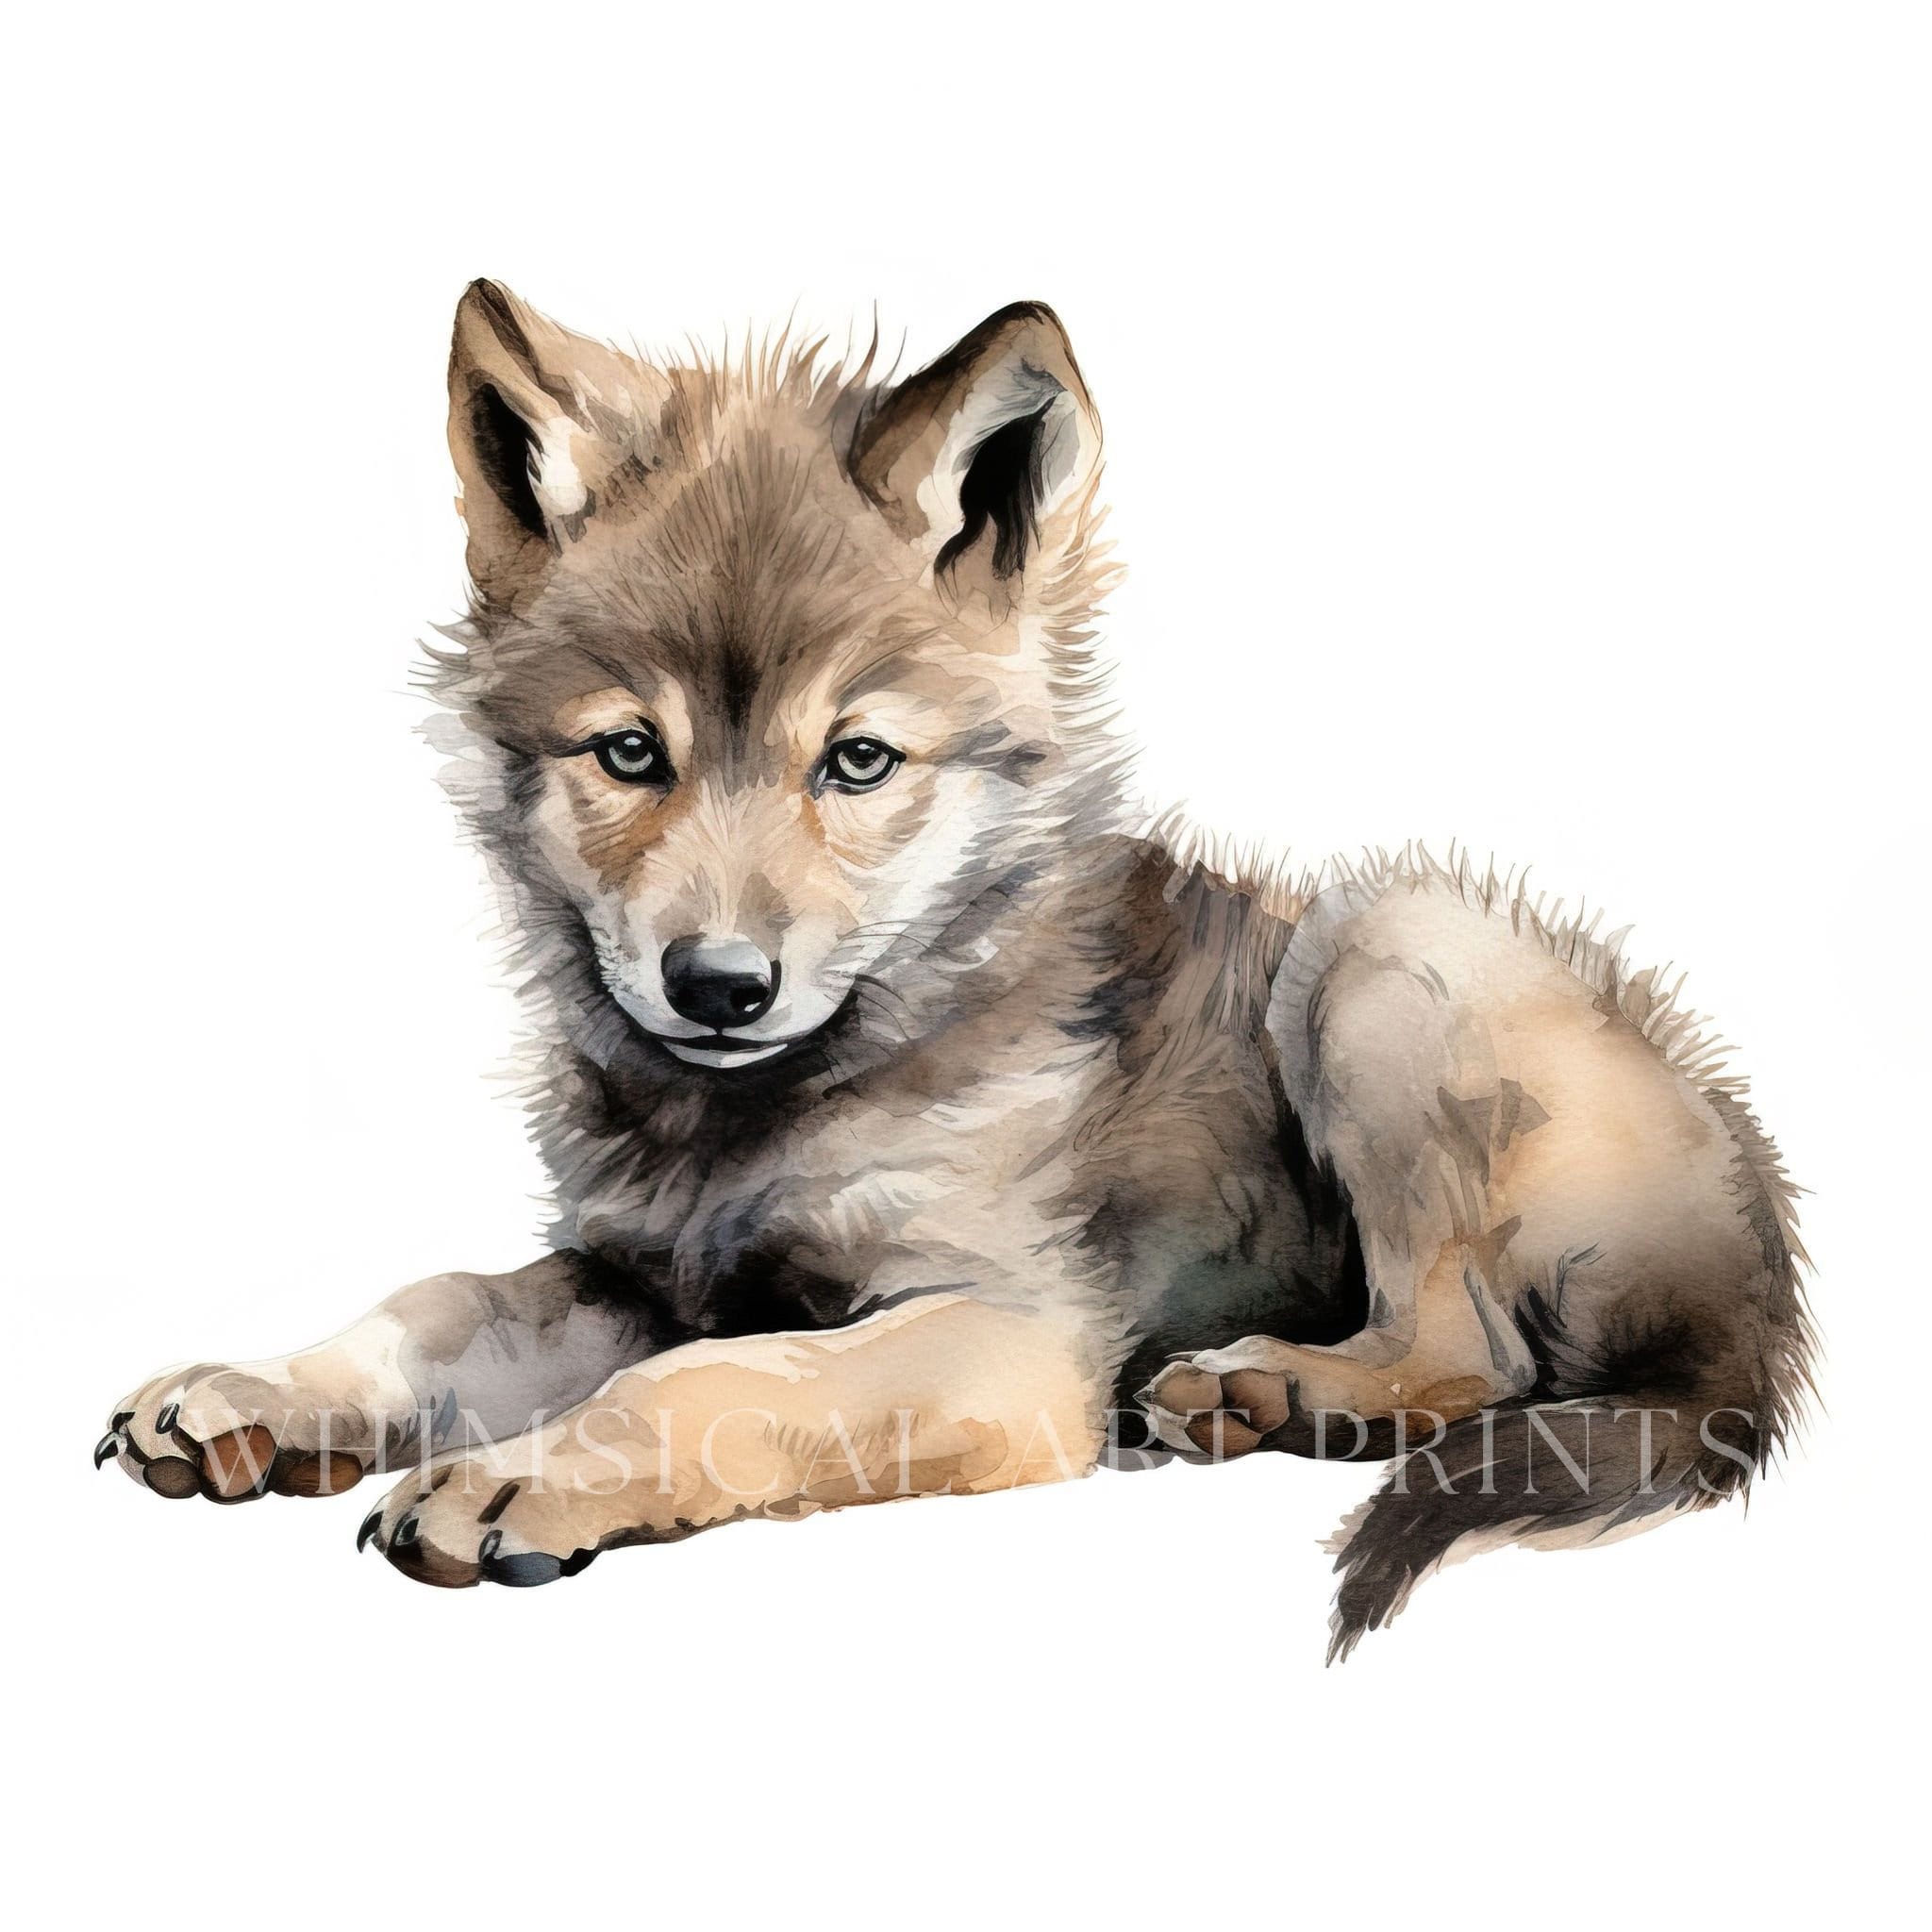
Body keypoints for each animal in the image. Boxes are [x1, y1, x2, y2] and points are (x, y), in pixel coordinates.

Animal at [98, 282, 1816, 1654]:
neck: (783, 1102)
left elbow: (708, 1388)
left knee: (1477, 1343)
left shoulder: (1005, 1337)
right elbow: (437, 1304)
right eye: (630, 752)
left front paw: (521, 1479)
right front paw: (255, 1388)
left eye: (857, 760)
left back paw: (1274, 1388)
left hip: (1380, 950)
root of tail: (1755, 1263)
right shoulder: (633, 1274)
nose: (716, 985)